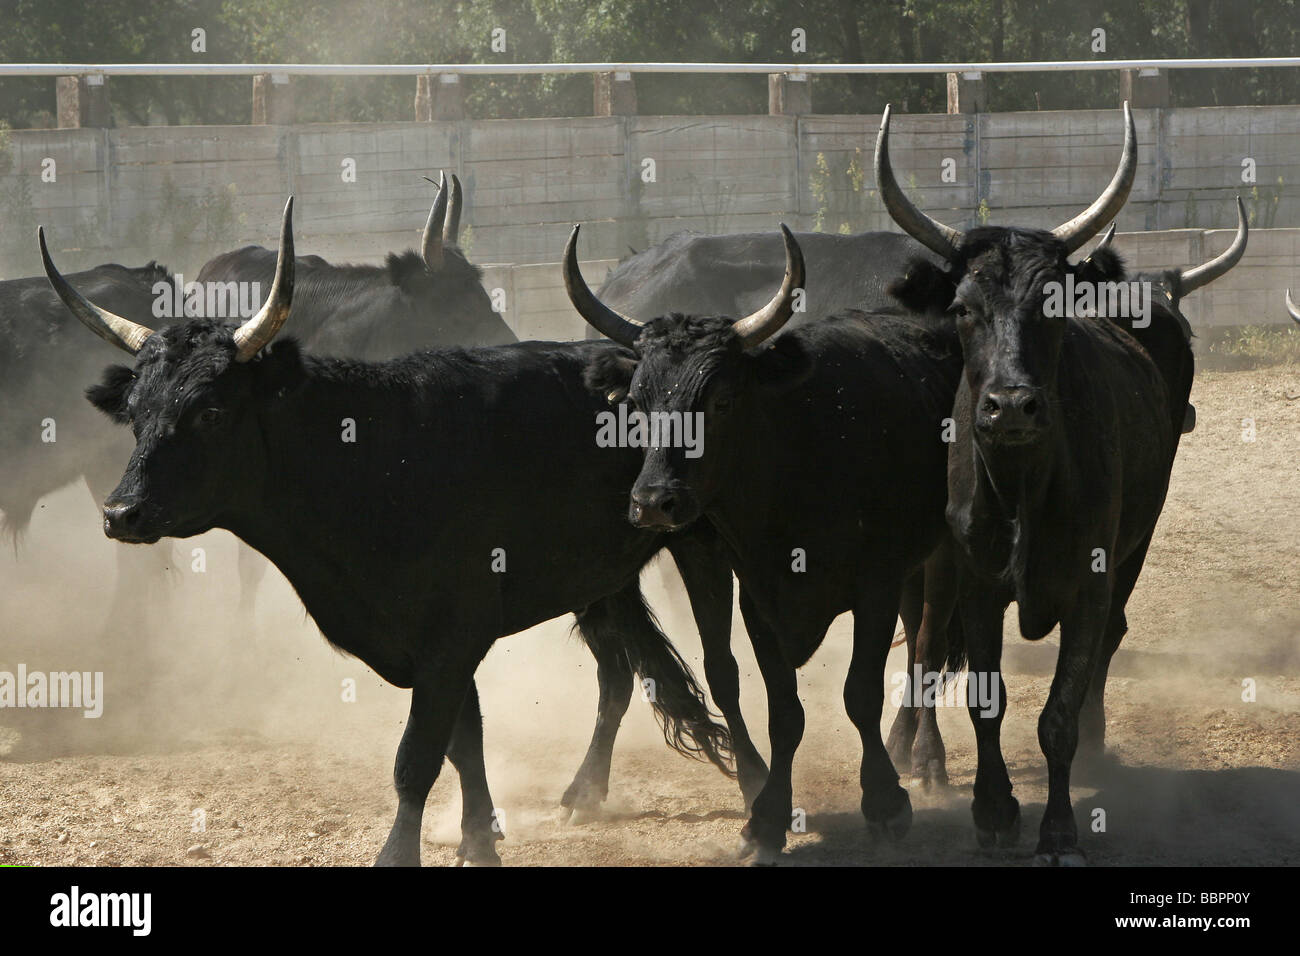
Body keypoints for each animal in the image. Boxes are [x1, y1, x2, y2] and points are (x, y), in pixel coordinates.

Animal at [40, 198, 745, 866]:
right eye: (135, 413)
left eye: (210, 411)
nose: (121, 513)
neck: (372, 455)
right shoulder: (440, 645)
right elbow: (465, 742)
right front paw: (479, 837)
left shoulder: (452, 637)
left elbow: (419, 756)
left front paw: (402, 850)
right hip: (598, 579)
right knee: (619, 674)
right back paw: (585, 792)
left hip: (697, 544)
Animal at [563, 219, 967, 863]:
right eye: (638, 404)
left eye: (721, 399)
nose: (652, 501)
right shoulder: (758, 596)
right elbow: (782, 711)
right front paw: (768, 818)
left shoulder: (873, 586)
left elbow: (860, 692)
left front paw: (884, 801)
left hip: (944, 549)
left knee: (927, 643)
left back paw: (927, 762)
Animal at [876, 101, 1191, 864]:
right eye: (963, 307)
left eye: (1051, 302)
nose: (1012, 405)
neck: (1023, 485)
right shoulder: (976, 580)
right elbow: (983, 698)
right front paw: (993, 811)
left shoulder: (1091, 583)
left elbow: (1060, 714)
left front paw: (1058, 828)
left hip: (1136, 546)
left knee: (1111, 641)